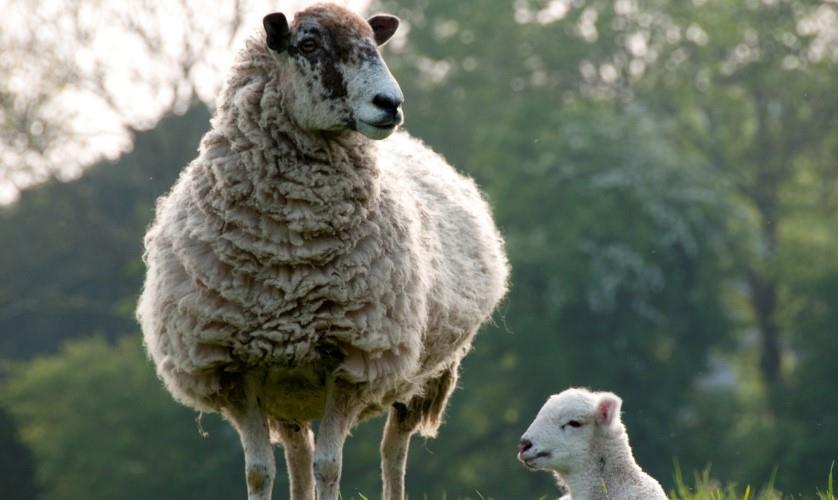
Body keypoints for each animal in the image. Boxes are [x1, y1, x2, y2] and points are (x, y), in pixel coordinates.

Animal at [135, 4, 509, 500]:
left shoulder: (353, 362)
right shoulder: (235, 371)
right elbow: (260, 471)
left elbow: (330, 465)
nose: (390, 103)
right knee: (298, 454)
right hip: (286, 386)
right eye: (308, 44)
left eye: (374, 42)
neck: (289, 259)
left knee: (393, 450)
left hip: (420, 376)